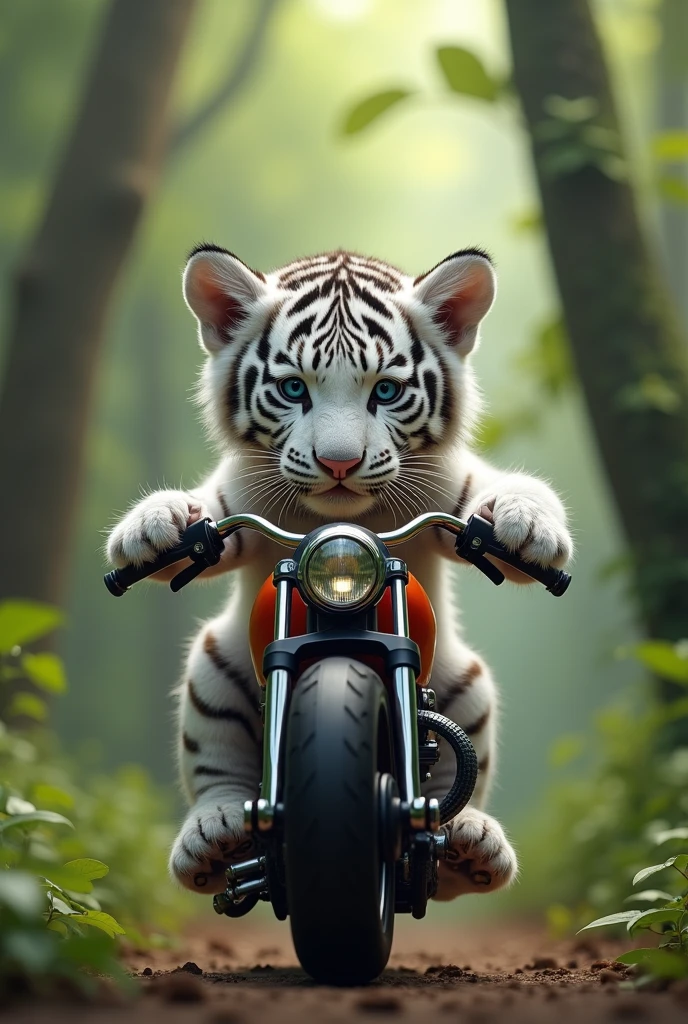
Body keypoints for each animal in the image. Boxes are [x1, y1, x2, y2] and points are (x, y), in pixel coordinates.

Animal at [106, 245, 572, 900]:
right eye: (292, 388)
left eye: (387, 391)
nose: (339, 463)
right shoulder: (234, 503)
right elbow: (199, 512)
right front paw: (152, 528)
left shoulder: (455, 493)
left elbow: (514, 490)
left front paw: (528, 527)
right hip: (210, 671)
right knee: (217, 776)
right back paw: (215, 835)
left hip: (469, 686)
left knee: (451, 788)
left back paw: (468, 846)